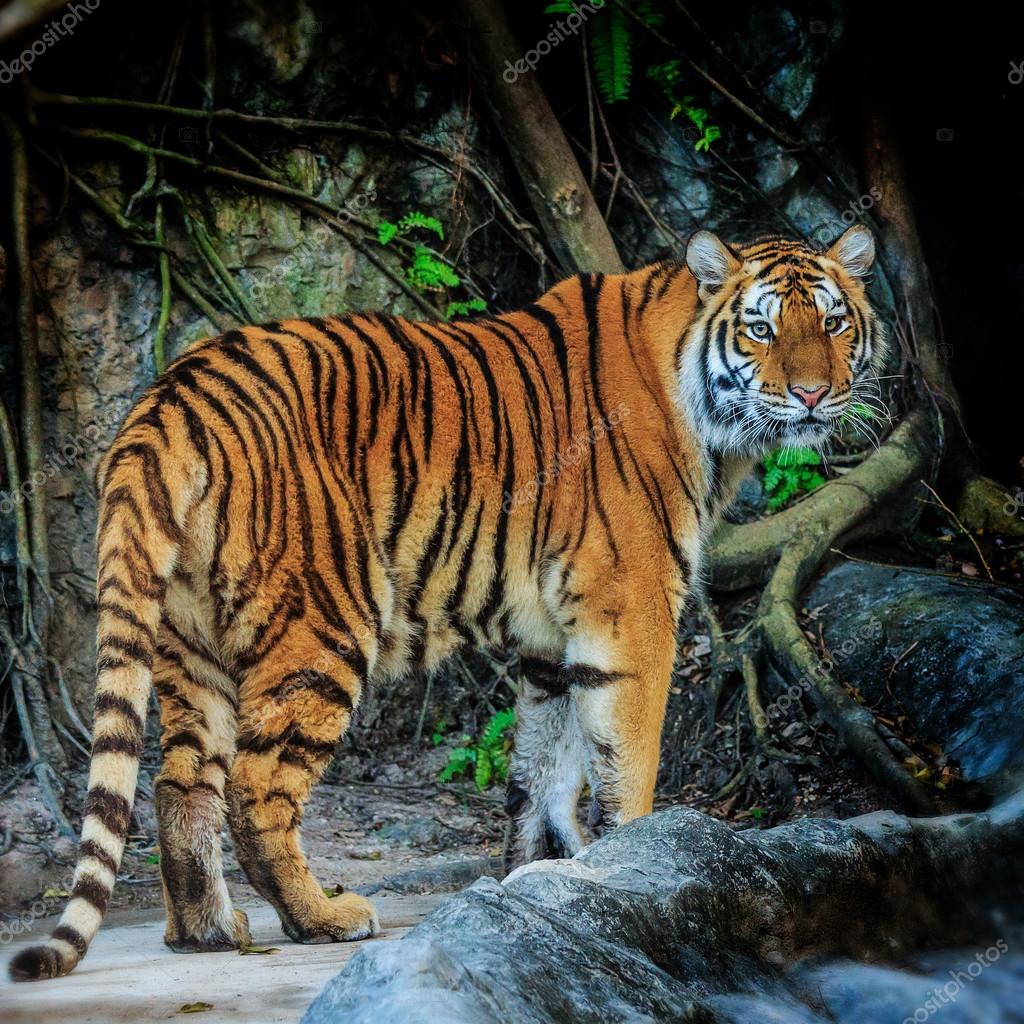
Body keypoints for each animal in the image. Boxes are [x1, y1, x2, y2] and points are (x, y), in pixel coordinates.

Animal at [9, 224, 881, 981]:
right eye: (762, 330)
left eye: (834, 321)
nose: (813, 395)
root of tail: (168, 399)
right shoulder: (631, 606)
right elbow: (627, 756)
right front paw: (643, 861)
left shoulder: (553, 642)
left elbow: (545, 768)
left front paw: (542, 878)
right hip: (323, 625)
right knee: (254, 786)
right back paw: (321, 917)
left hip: (191, 642)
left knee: (181, 781)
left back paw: (209, 930)